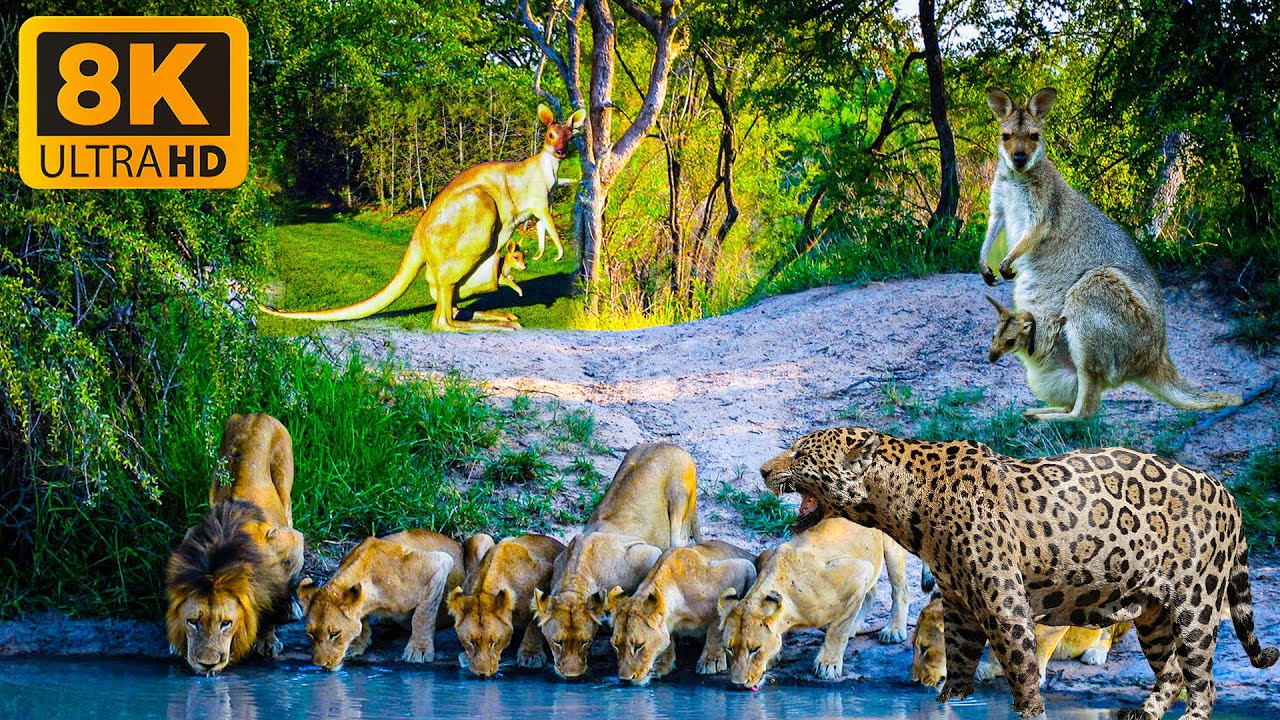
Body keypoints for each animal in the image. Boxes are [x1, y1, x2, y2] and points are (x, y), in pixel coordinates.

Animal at [760, 426, 1276, 720]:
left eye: (800, 454)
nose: (763, 470)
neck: (901, 504)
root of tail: (1227, 492)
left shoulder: (1005, 604)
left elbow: (1023, 671)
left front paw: (1029, 712)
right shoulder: (961, 606)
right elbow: (960, 662)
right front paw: (951, 701)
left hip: (1196, 603)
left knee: (1204, 683)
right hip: (1153, 612)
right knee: (1171, 671)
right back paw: (1144, 713)